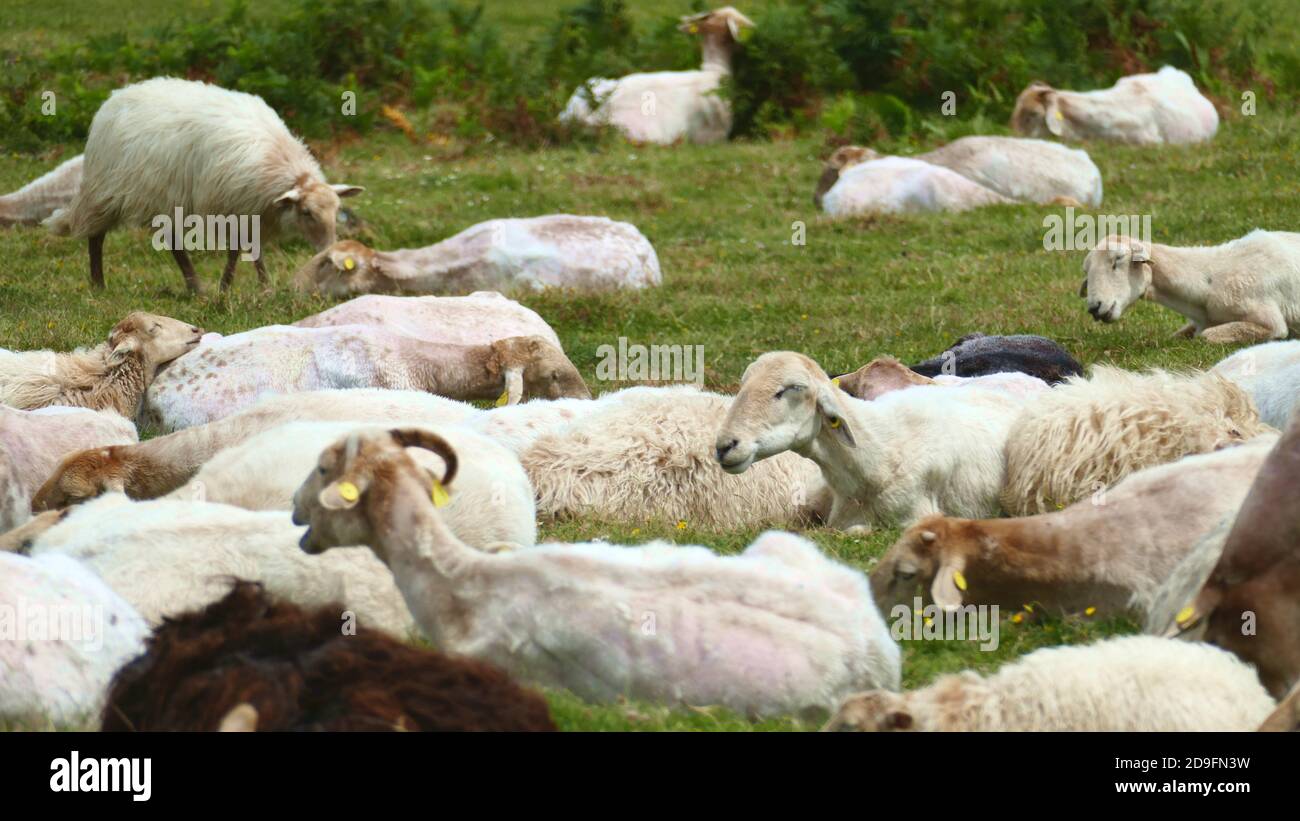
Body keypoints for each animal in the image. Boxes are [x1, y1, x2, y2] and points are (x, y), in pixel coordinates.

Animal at [44, 77, 362, 293]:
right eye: (307, 213)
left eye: (337, 211)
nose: (329, 249)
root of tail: (117, 96)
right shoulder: (231, 205)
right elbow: (239, 250)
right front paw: (235, 288)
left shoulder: (252, 210)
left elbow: (252, 250)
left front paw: (256, 286)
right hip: (108, 190)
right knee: (96, 236)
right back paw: (100, 283)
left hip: (163, 197)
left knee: (172, 242)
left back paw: (194, 286)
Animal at [1081, 230, 1300, 342]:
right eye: (1087, 270)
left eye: (1117, 260)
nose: (1094, 307)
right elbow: (1176, 337)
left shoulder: (1271, 323)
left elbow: (1205, 336)